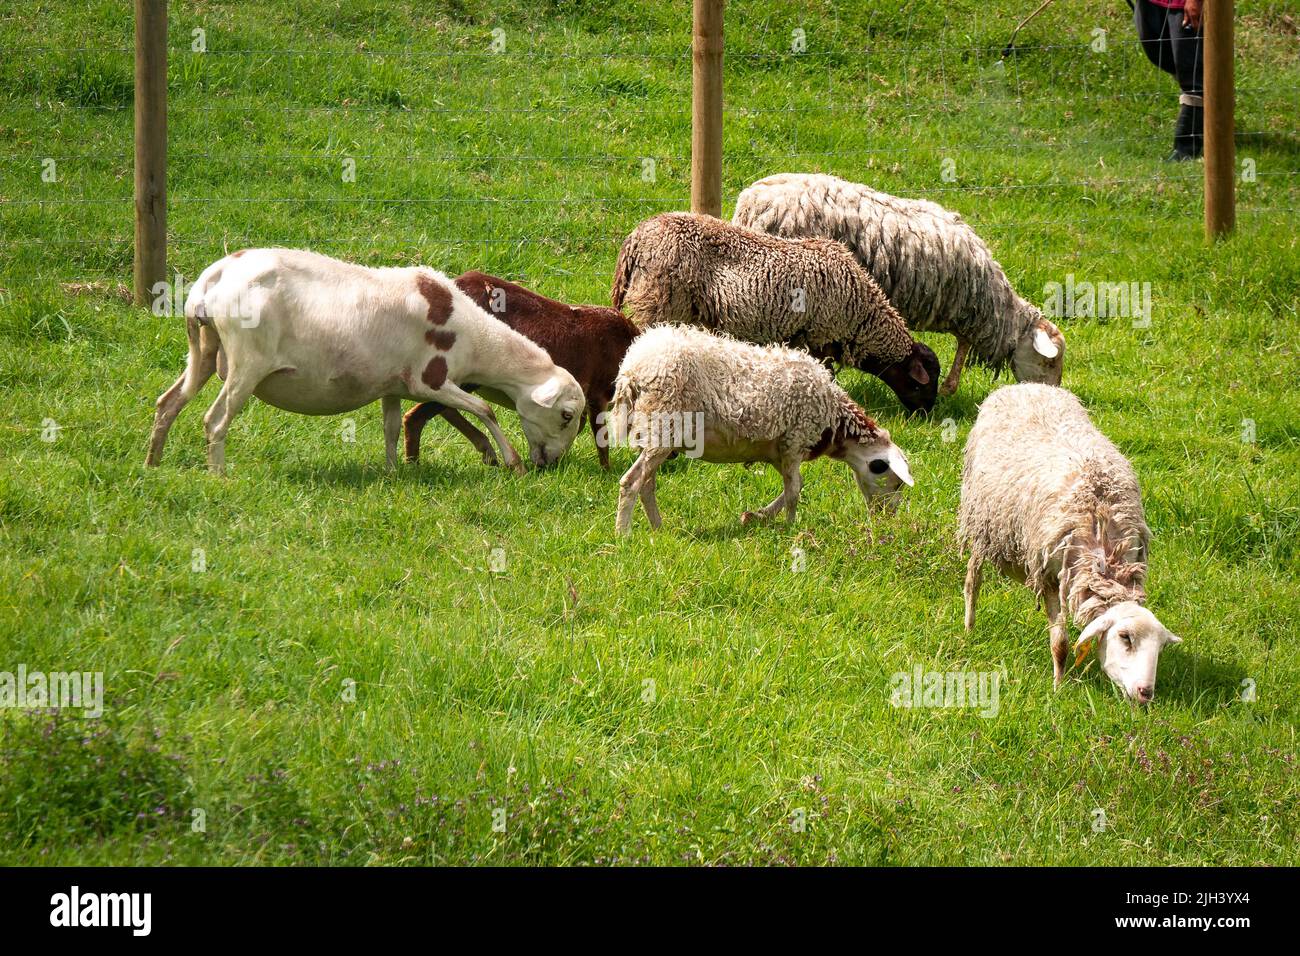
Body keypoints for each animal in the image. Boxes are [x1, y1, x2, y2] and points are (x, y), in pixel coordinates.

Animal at [145, 249, 585, 475]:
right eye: (566, 415)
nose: (553, 463)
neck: (476, 341)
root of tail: (213, 279)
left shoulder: (394, 383)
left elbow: (390, 426)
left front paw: (393, 473)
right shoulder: (430, 380)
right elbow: (485, 408)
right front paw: (512, 462)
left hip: (203, 348)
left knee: (168, 403)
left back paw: (153, 464)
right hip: (246, 361)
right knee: (215, 420)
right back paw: (218, 476)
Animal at [610, 212, 940, 414]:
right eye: (919, 382)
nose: (926, 413)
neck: (861, 315)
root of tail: (636, 238)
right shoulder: (818, 334)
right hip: (657, 303)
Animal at [610, 324, 914, 536]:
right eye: (894, 480)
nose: (887, 519)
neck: (834, 422)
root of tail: (633, 368)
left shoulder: (779, 450)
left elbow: (793, 484)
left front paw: (757, 516)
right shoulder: (795, 440)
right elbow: (794, 491)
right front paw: (791, 527)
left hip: (653, 432)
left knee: (647, 484)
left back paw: (658, 529)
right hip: (666, 424)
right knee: (631, 482)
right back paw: (623, 535)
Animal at [732, 173, 1065, 397]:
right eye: (1049, 363)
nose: (1054, 395)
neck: (997, 309)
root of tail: (750, 201)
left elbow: (962, 344)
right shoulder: (965, 309)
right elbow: (963, 343)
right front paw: (949, 387)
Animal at [958, 383, 1180, 703]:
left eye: (1160, 648)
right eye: (1125, 638)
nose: (1145, 693)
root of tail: (1026, 385)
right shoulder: (1051, 575)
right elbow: (1060, 642)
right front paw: (1058, 687)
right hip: (982, 520)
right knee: (973, 579)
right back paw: (969, 627)